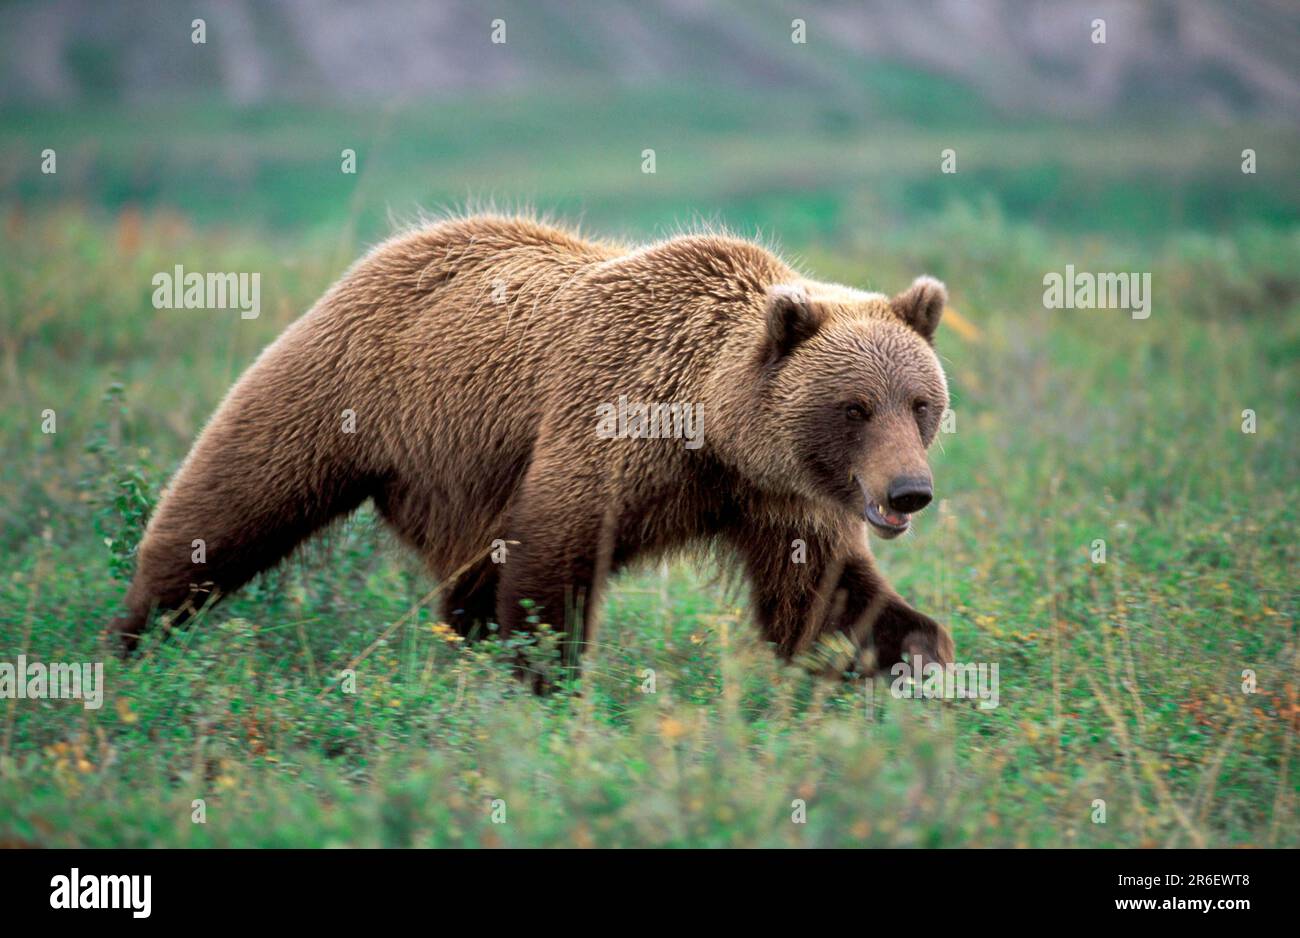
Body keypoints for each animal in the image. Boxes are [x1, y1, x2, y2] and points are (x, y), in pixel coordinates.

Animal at [110, 214, 955, 680]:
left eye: (921, 404)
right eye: (853, 407)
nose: (908, 491)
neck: (709, 431)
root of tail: (392, 246)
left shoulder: (778, 499)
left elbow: (816, 597)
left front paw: (914, 654)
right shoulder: (611, 425)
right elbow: (554, 556)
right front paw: (546, 682)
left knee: (464, 577)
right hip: (343, 391)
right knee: (231, 507)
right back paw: (132, 636)